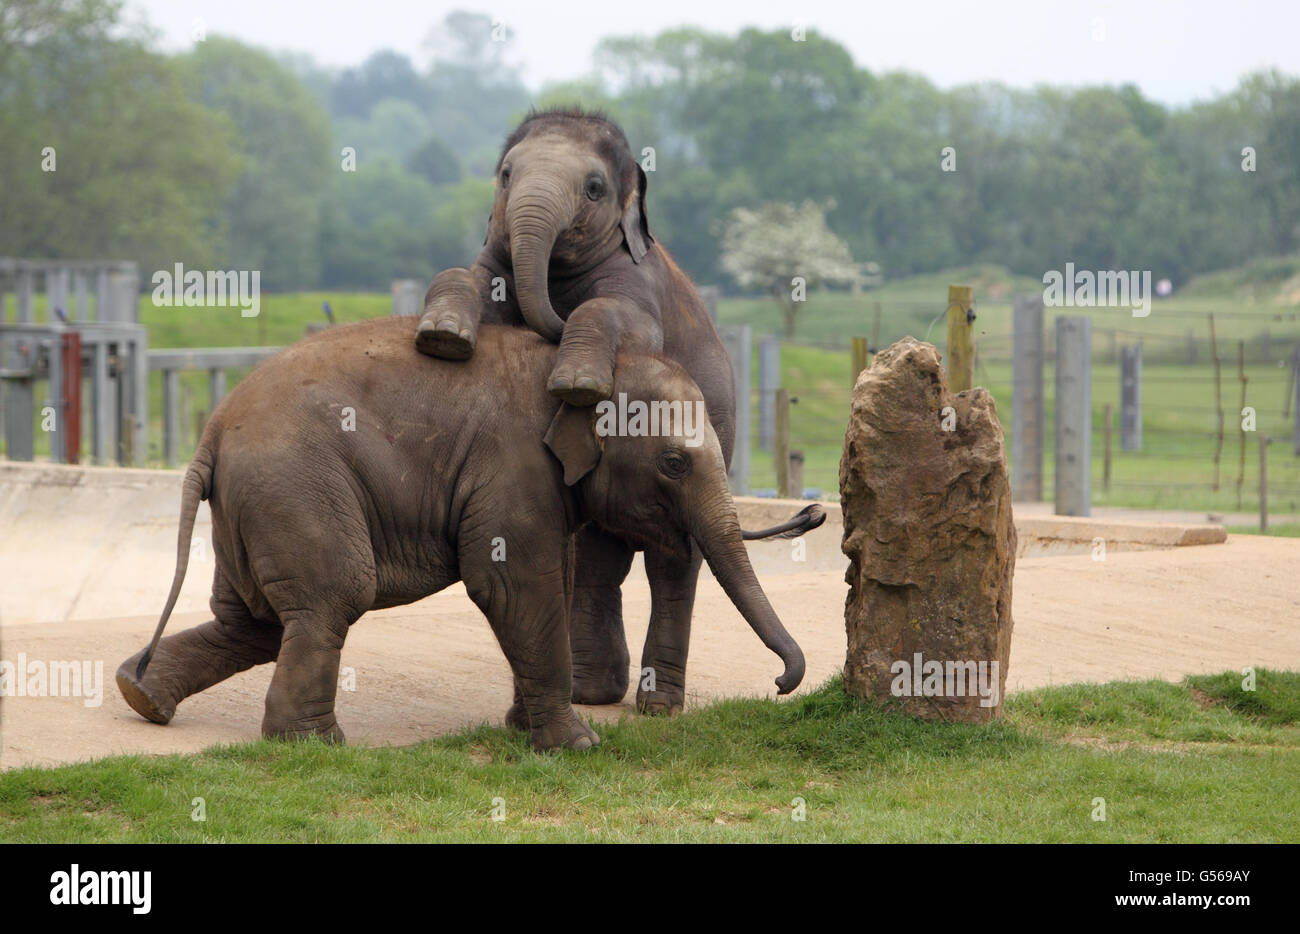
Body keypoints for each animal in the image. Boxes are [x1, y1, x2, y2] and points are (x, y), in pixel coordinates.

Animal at [115, 318, 806, 751]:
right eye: (674, 463)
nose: (779, 684)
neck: (587, 368)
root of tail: (211, 433)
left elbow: (551, 580)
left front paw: (523, 729)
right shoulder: (511, 462)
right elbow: (510, 584)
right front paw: (578, 746)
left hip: (253, 506)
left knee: (253, 622)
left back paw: (140, 695)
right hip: (294, 488)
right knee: (332, 597)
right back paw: (313, 747)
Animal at [414, 107, 804, 715]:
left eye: (594, 189)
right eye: (504, 176)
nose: (779, 684)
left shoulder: (634, 279)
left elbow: (620, 317)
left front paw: (577, 382)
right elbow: (463, 276)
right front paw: (444, 336)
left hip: (717, 436)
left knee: (674, 563)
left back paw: (656, 705)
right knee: (601, 556)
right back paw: (592, 692)